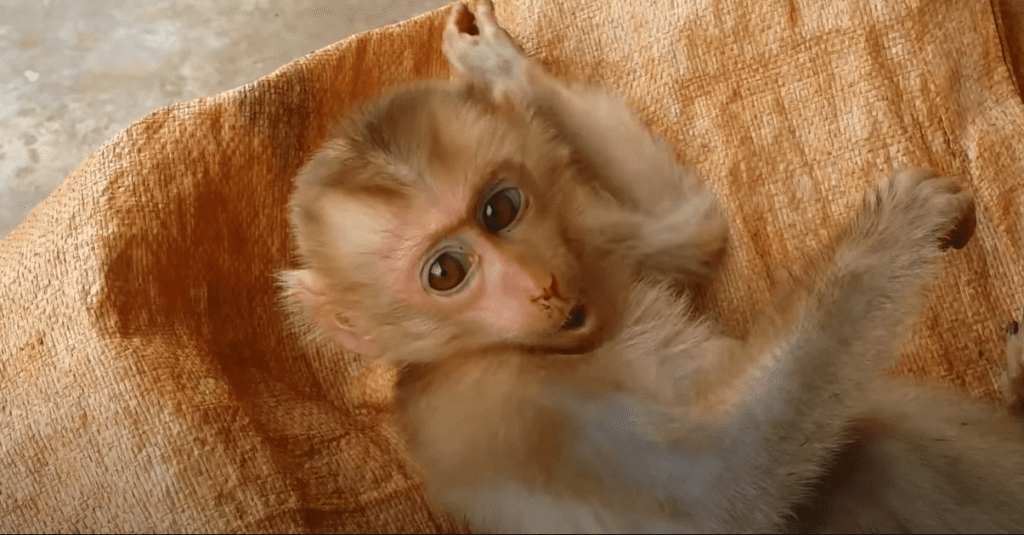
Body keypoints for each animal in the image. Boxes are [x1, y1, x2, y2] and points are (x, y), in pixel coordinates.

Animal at [278, 1, 1024, 532]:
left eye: (500, 209)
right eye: (444, 274)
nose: (540, 286)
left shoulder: (594, 244)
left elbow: (689, 226)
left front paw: (499, 70)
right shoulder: (492, 407)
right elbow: (719, 481)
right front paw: (899, 222)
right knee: (872, 448)